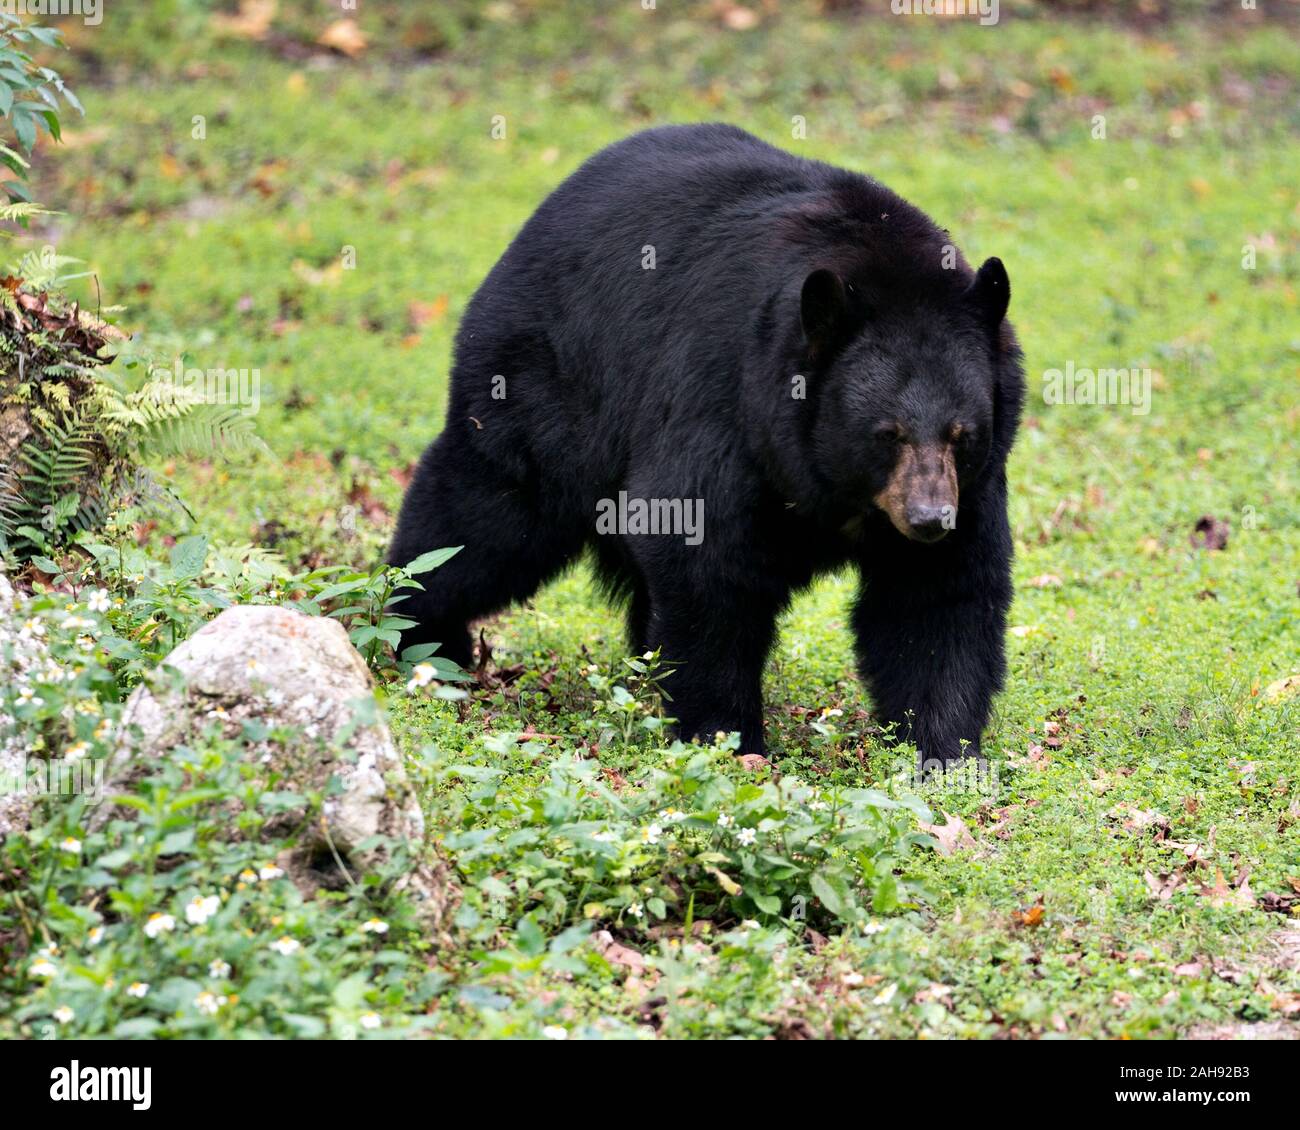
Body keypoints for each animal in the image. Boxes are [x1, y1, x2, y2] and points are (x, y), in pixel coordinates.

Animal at [389, 123, 1025, 767]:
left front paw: (944, 752)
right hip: (548, 382)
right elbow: (705, 559)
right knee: (486, 516)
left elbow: (936, 597)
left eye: (962, 433)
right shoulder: (724, 400)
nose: (928, 519)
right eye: (887, 433)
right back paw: (420, 635)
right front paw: (727, 737)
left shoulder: (970, 487)